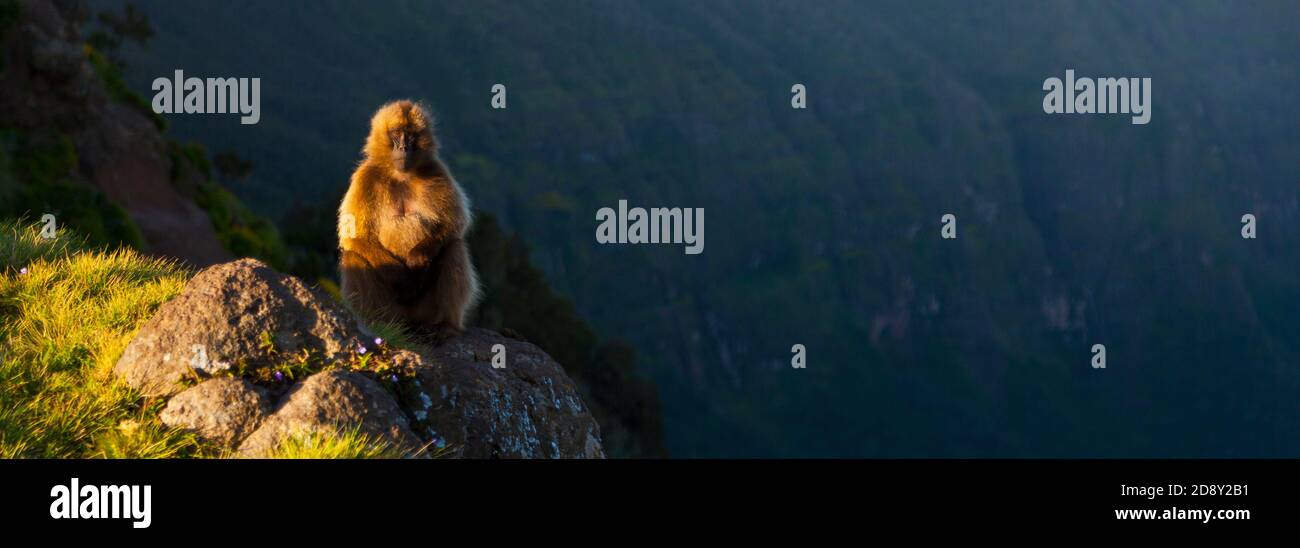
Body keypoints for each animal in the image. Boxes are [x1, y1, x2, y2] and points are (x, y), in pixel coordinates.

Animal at [338, 100, 480, 341]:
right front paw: (402, 279)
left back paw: (445, 326)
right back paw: (380, 323)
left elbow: (453, 226)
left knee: (454, 248)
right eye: (396, 133)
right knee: (353, 256)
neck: (400, 174)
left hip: (426, 310)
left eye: (411, 135)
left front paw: (418, 257)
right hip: (393, 309)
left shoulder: (437, 170)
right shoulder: (365, 178)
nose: (404, 148)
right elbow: (355, 237)